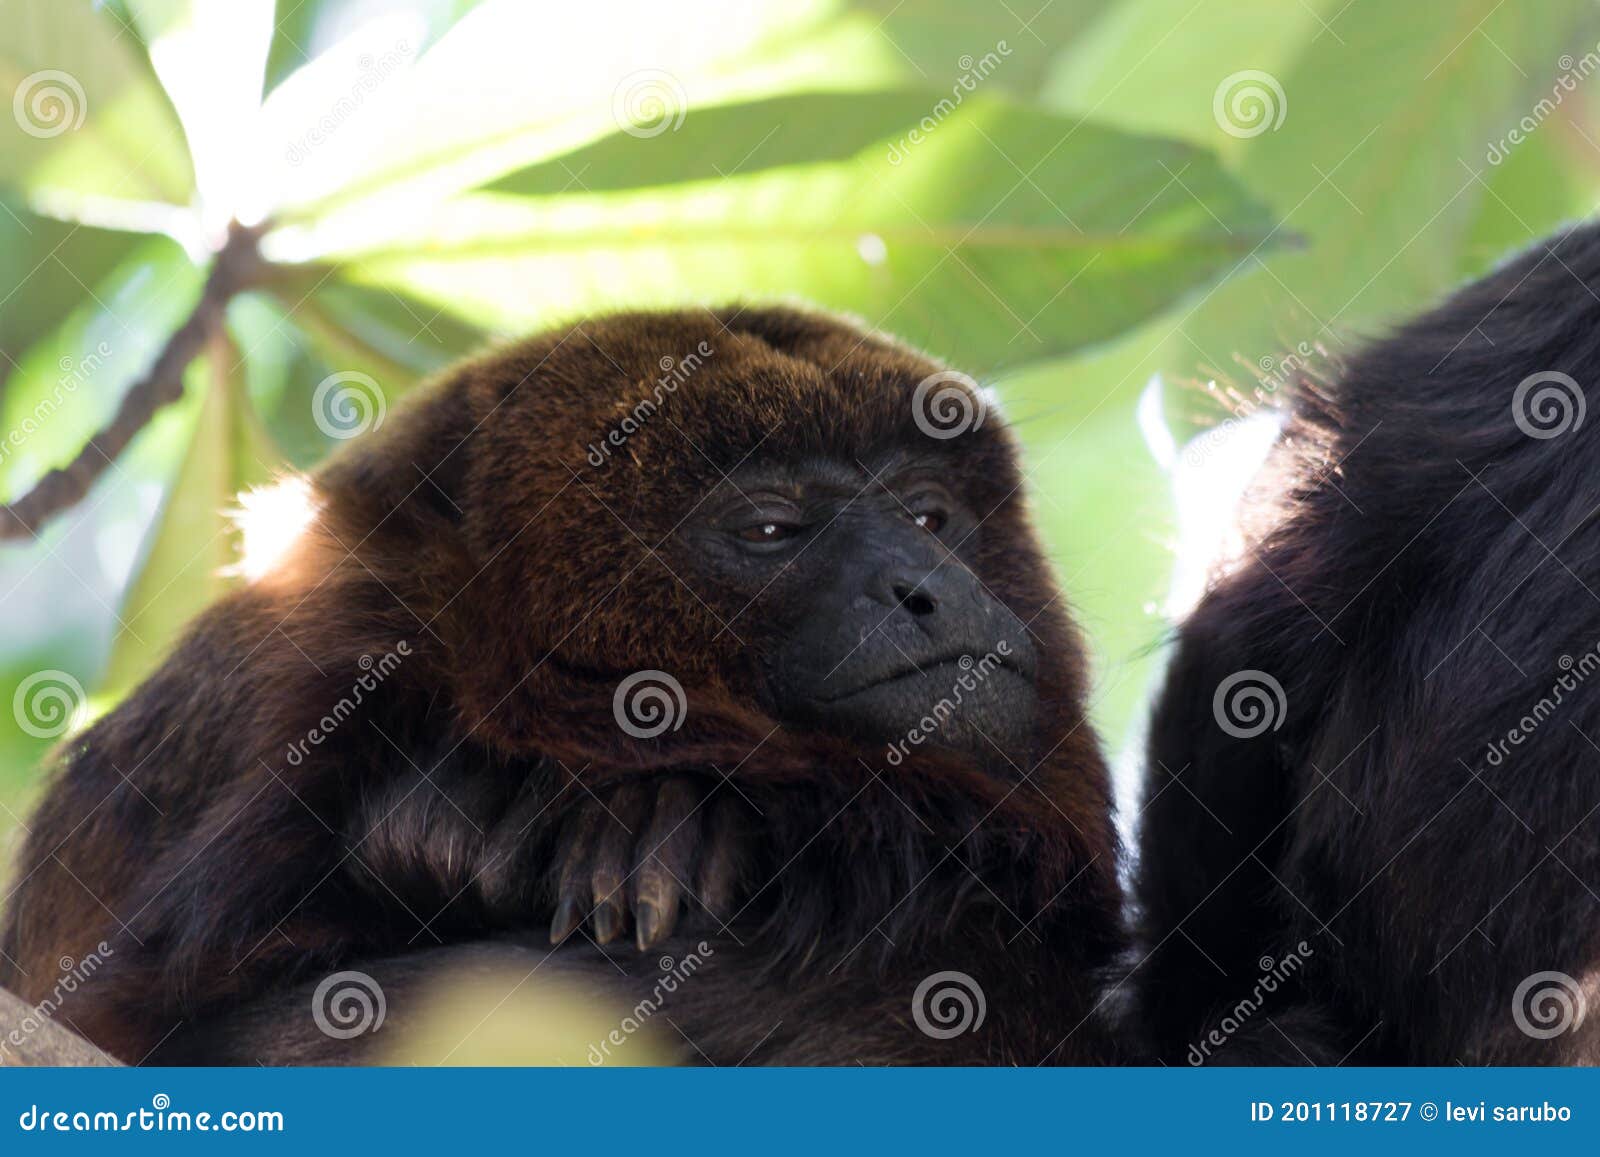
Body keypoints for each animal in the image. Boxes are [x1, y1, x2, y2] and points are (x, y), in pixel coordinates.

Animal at [0, 306, 1125, 1065]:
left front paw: (656, 822)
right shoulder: (294, 665)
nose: (930, 585)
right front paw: (472, 828)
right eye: (769, 526)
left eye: (930, 515)